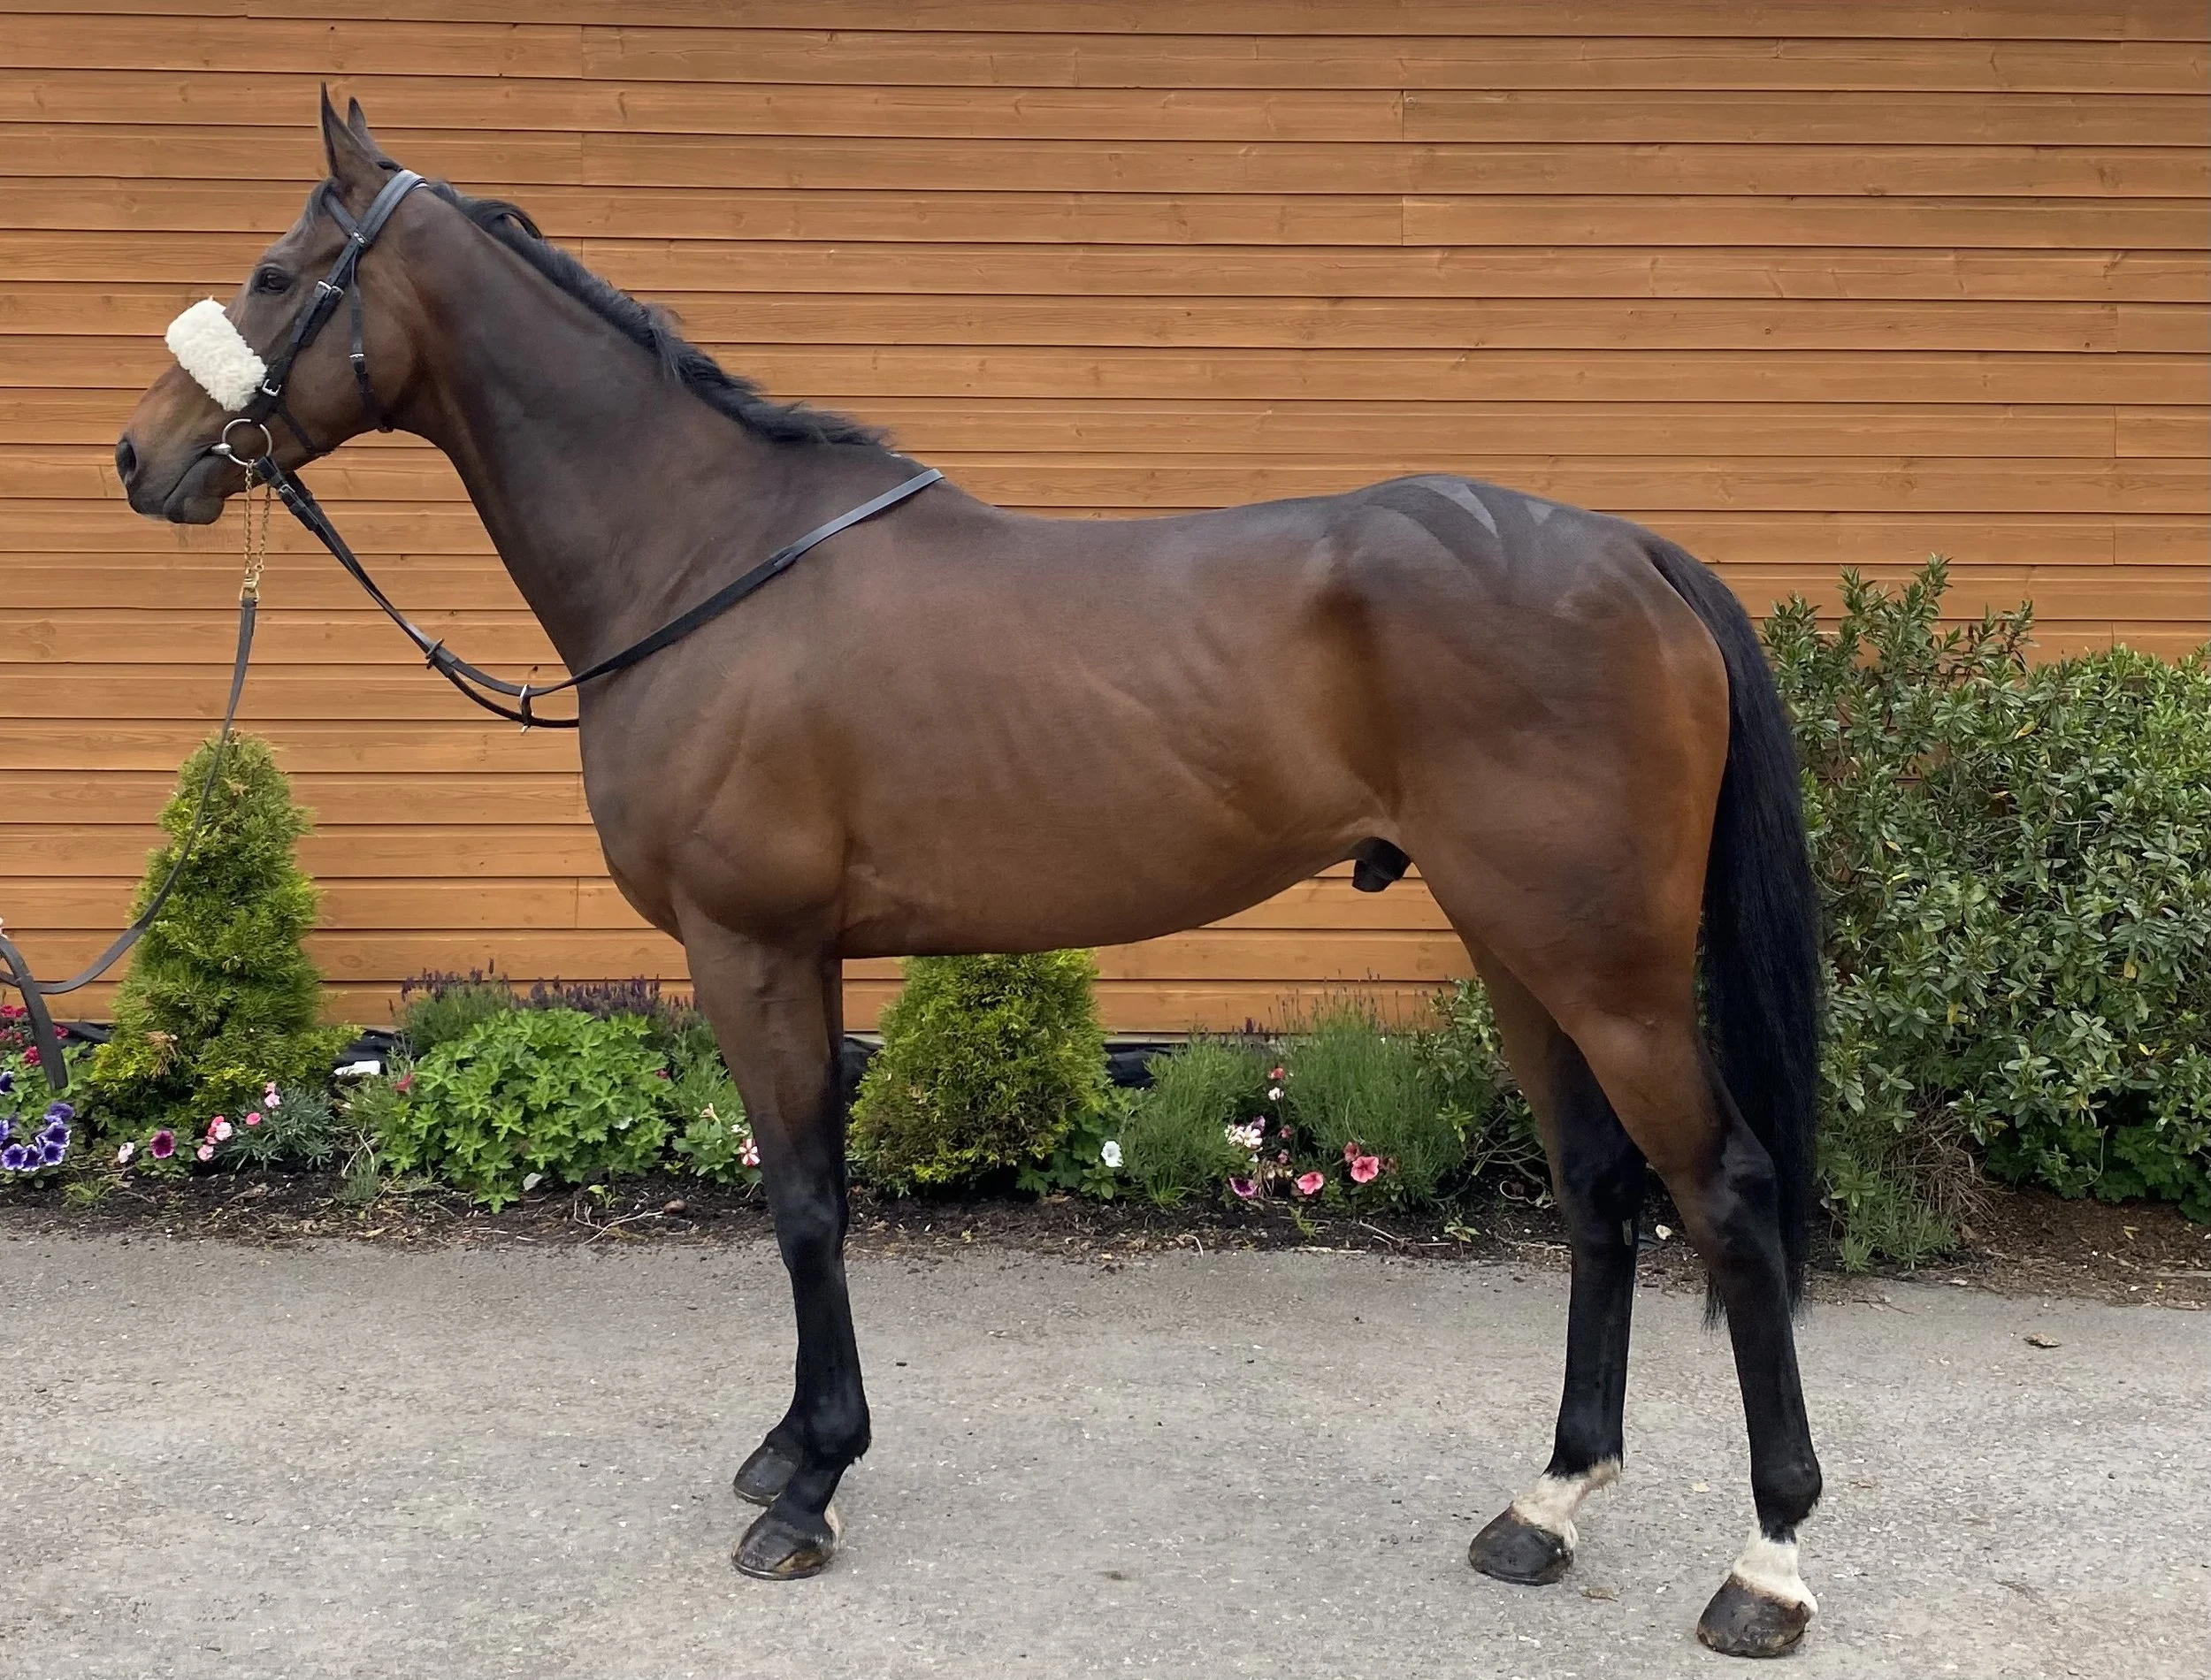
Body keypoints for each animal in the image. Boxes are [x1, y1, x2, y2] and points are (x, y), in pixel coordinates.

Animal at [116, 95, 1825, 1658]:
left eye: (277, 272)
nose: (141, 454)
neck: (705, 559)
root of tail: (1628, 553)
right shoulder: (802, 954)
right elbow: (812, 1191)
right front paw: (790, 1451)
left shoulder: (747, 947)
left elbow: (805, 1204)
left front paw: (810, 1493)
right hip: (1516, 947)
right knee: (1601, 1192)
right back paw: (1546, 1506)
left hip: (1602, 966)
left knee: (1725, 1196)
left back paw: (1766, 1568)